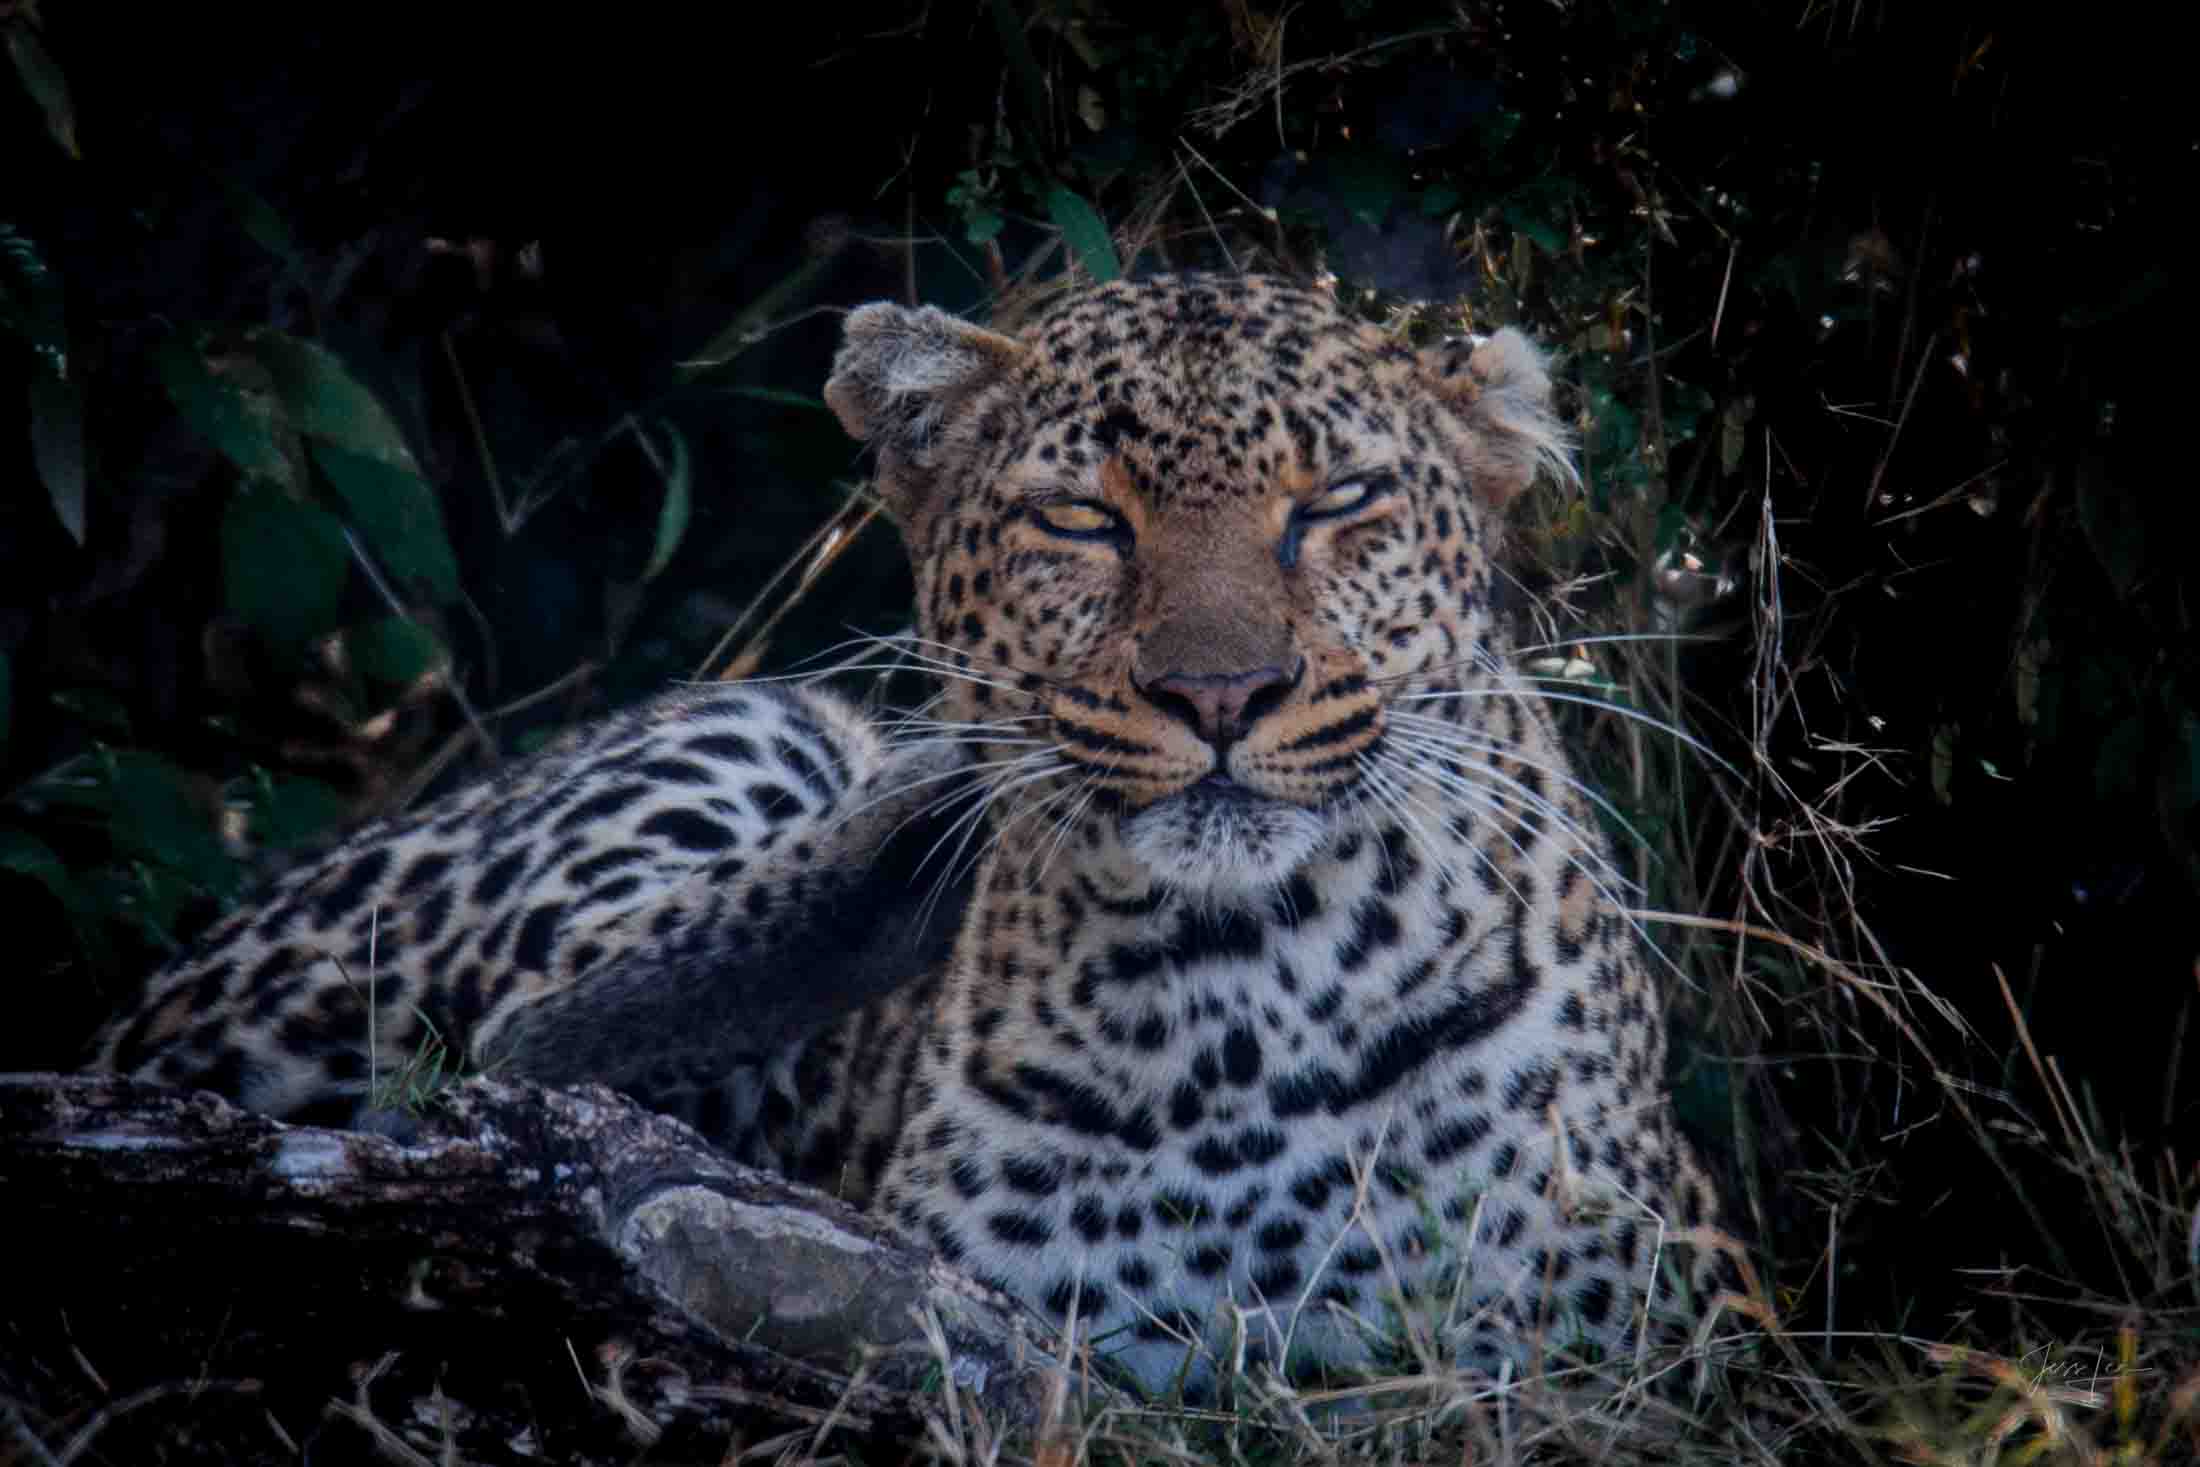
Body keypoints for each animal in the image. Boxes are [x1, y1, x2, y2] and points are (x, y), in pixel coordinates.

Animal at [93, 274, 1731, 1395]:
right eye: (1083, 520)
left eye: (1337, 502)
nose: (1217, 694)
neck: (1252, 993)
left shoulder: (1659, 1351)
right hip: (742, 742)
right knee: (494, 1061)